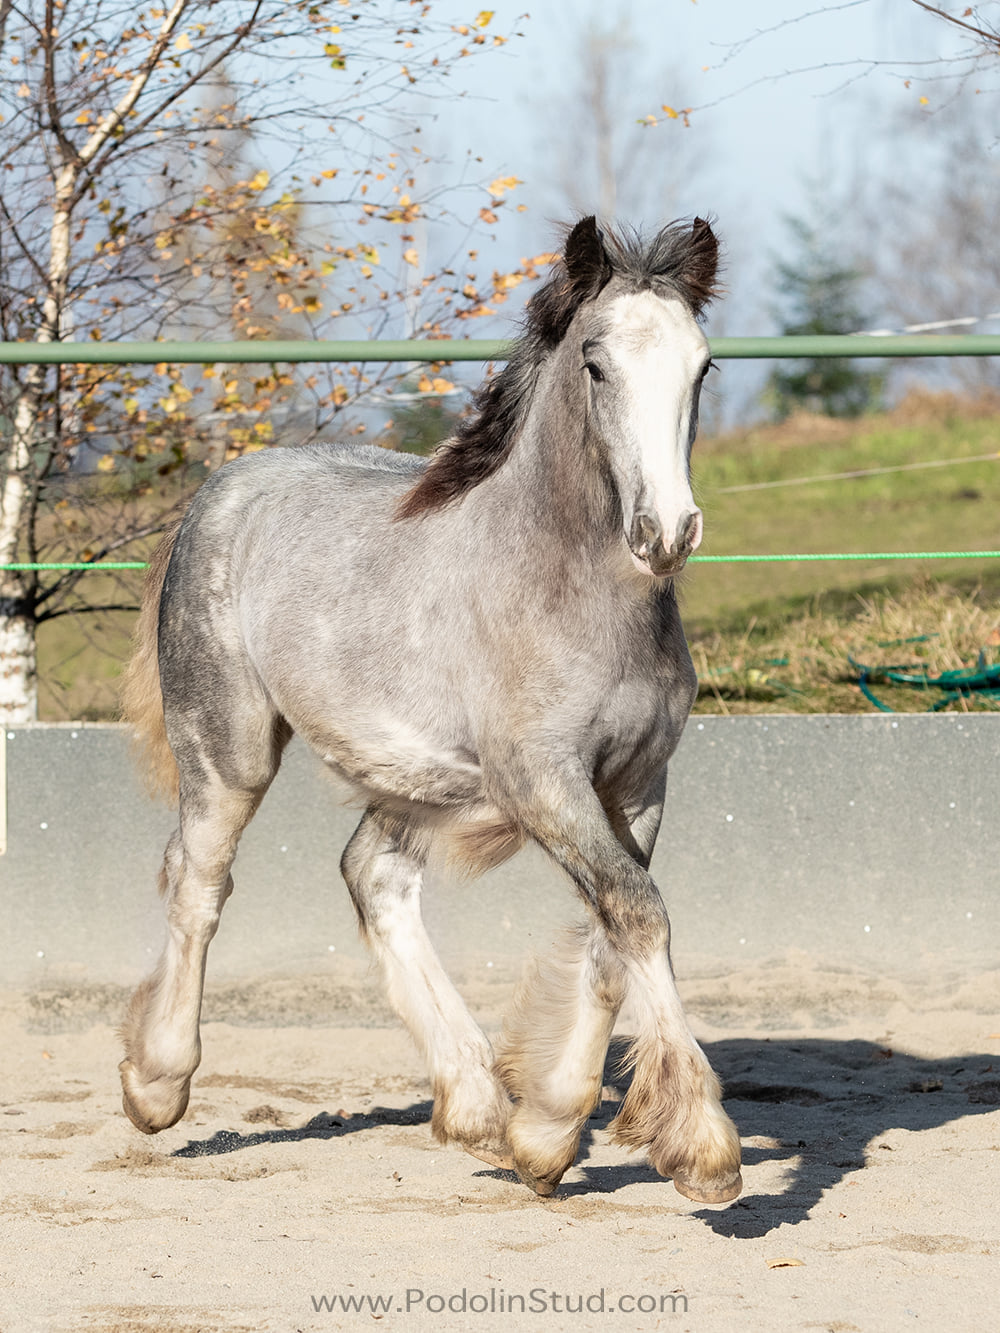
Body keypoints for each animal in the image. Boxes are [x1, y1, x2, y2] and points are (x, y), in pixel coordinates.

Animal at [119, 214, 743, 1205]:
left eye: (704, 366)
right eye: (597, 364)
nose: (667, 533)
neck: (576, 595)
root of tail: (217, 492)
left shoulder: (638, 781)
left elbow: (615, 932)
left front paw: (545, 1135)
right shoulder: (542, 779)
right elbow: (636, 913)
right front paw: (704, 1150)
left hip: (414, 774)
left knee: (371, 872)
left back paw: (476, 1102)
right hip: (230, 749)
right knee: (200, 877)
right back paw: (156, 1084)